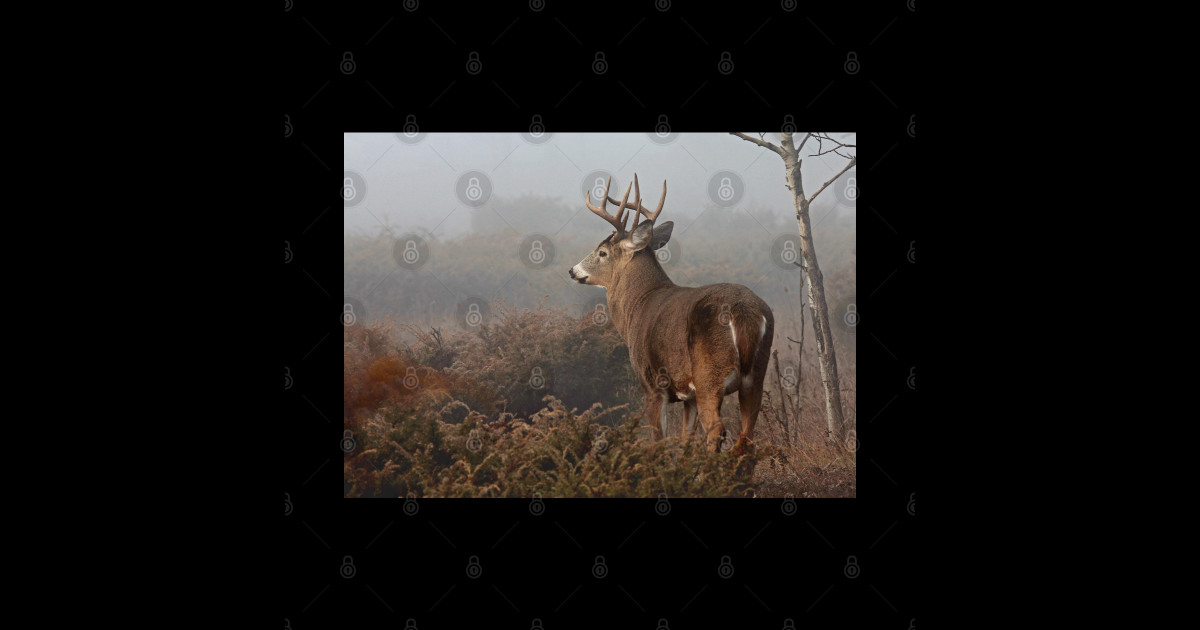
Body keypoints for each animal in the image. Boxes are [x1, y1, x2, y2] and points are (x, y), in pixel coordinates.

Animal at [569, 174, 774, 455]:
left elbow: (658, 441)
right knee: (747, 435)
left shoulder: (652, 384)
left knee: (717, 430)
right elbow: (685, 441)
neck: (638, 305)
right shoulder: (689, 396)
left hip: (710, 376)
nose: (573, 270)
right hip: (755, 377)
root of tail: (743, 312)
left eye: (602, 252)